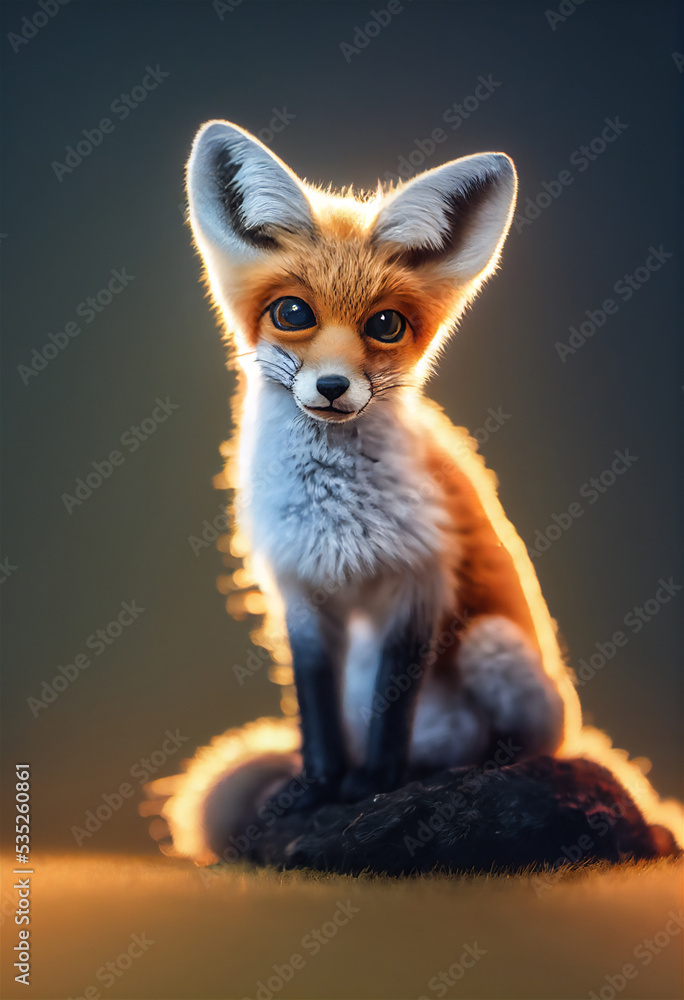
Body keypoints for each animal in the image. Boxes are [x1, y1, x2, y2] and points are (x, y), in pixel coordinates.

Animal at [142, 121, 682, 863]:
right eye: (292, 312)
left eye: (386, 325)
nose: (333, 387)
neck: (335, 511)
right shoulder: (298, 590)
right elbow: (313, 712)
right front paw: (316, 788)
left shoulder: (421, 581)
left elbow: (391, 708)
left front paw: (375, 785)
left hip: (495, 647)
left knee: (526, 747)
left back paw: (469, 774)